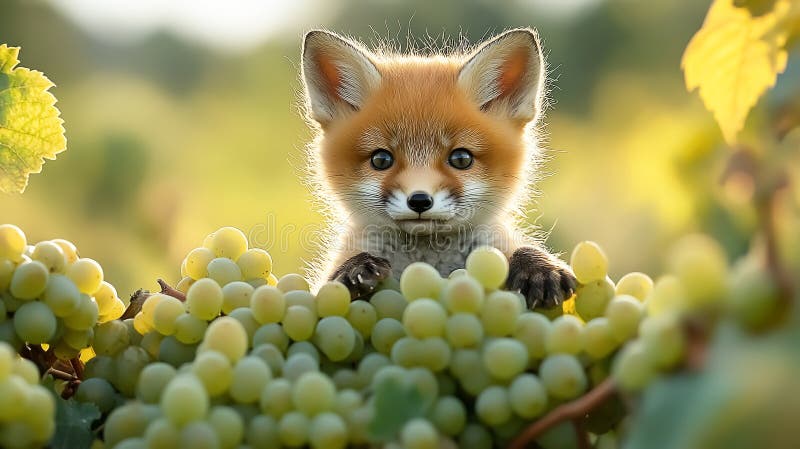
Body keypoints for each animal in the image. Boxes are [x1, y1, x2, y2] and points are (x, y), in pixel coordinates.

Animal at [300, 28, 576, 309]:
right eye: (381, 160)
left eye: (462, 159)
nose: (420, 200)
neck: (428, 262)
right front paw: (353, 270)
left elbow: (522, 249)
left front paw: (539, 268)